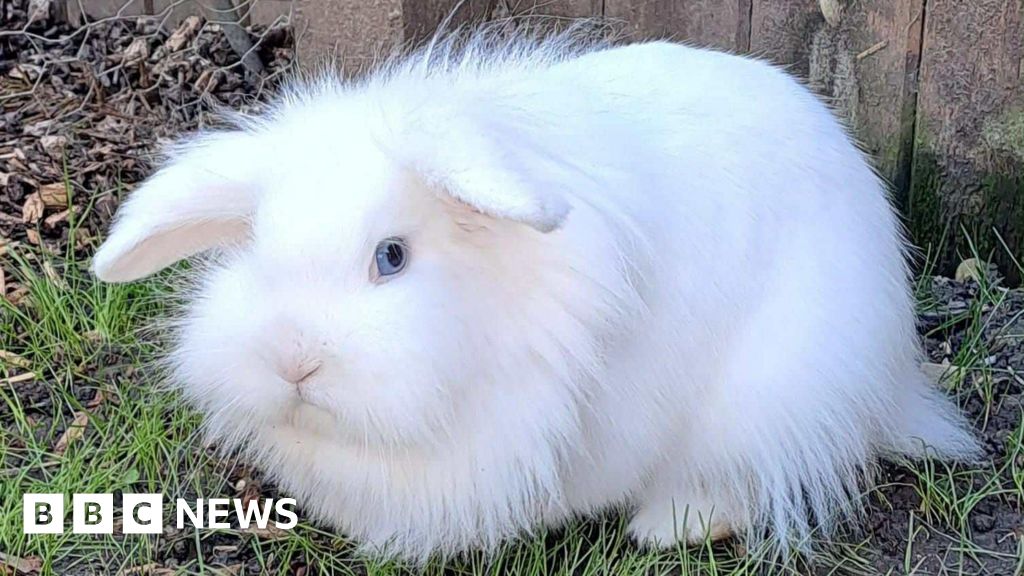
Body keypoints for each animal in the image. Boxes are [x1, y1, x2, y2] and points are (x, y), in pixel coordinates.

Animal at [92, 26, 979, 561]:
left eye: (392, 257)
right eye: (256, 251)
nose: (293, 362)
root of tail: (892, 377)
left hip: (774, 388)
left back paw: (670, 526)